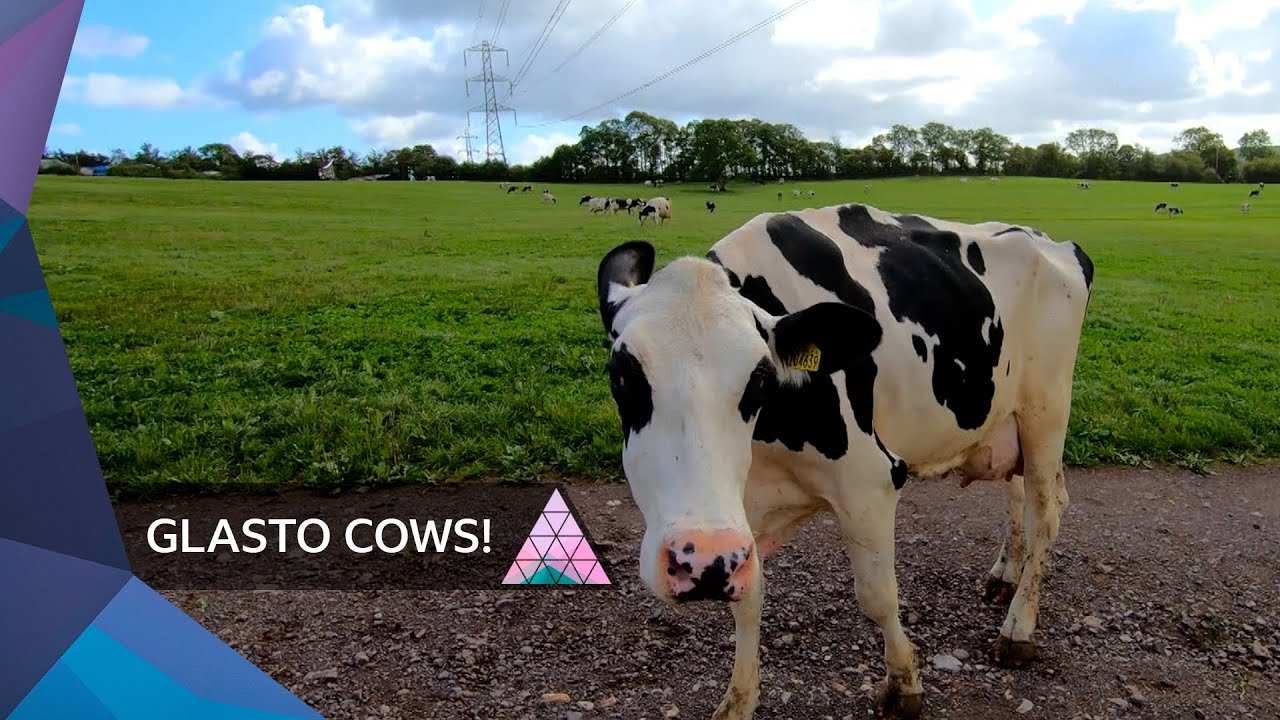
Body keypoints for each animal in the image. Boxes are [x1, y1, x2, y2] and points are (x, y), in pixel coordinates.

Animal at [595, 203, 1094, 720]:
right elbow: (748, 599)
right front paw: (738, 700)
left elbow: (877, 595)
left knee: (1045, 512)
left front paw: (903, 685)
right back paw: (1005, 575)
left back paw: (1019, 628)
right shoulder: (739, 519)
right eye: (620, 377)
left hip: (1046, 411)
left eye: (760, 380)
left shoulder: (869, 481)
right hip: (1003, 416)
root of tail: (1050, 240)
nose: (700, 561)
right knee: (1017, 494)